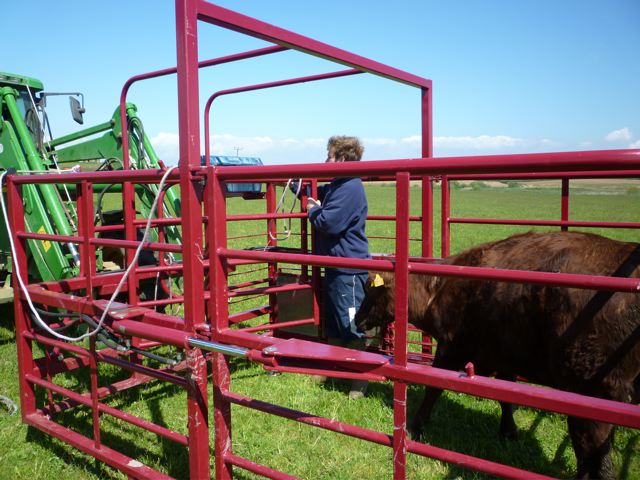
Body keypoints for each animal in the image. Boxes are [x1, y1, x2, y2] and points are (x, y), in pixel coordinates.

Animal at [355, 231, 640, 480]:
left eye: (371, 289)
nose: (357, 319)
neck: (438, 288)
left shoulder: (452, 348)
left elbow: (432, 389)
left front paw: (415, 426)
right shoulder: (504, 355)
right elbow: (505, 397)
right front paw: (508, 431)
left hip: (588, 392)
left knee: (592, 453)